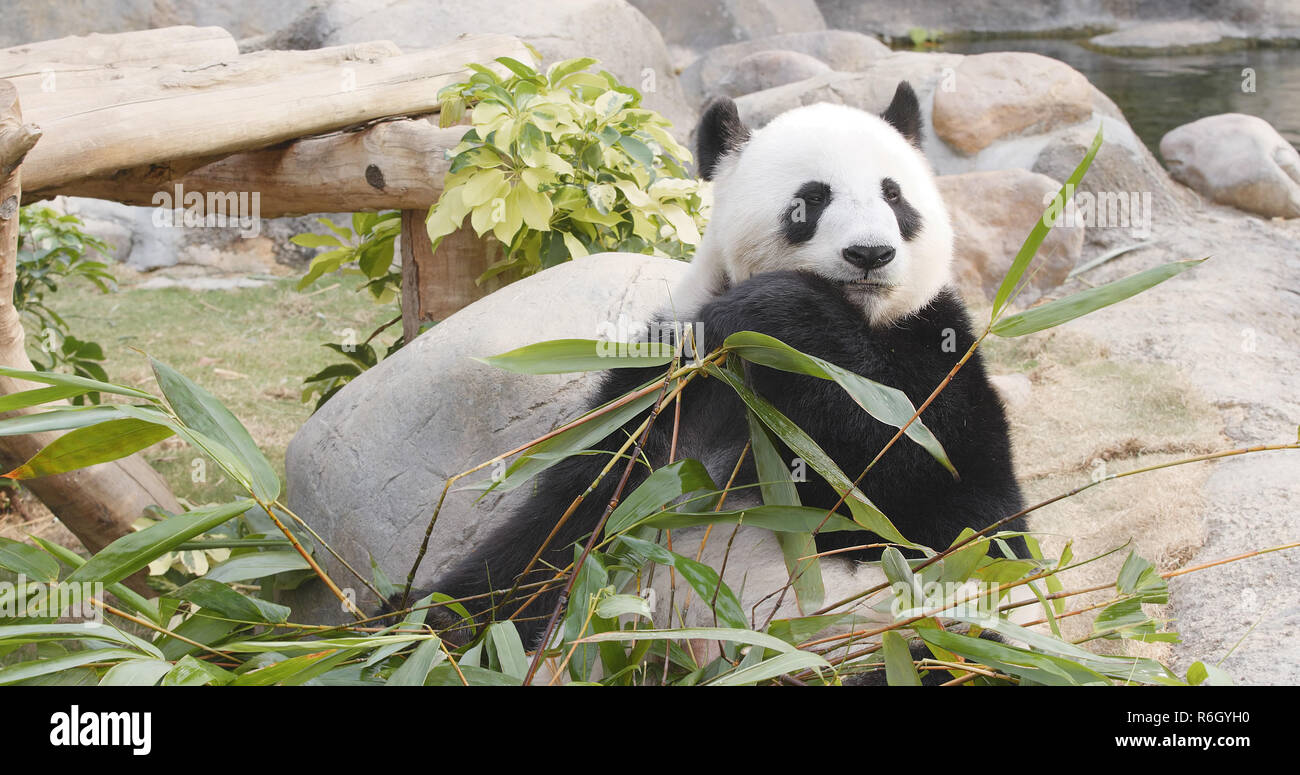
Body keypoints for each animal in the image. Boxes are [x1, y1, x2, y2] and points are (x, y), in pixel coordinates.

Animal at [403, 82, 1029, 673]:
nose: (871, 254)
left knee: (954, 654)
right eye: (812, 200)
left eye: (894, 195)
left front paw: (778, 310)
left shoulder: (938, 351)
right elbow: (576, 513)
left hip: (908, 639)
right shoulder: (673, 380)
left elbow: (954, 496)